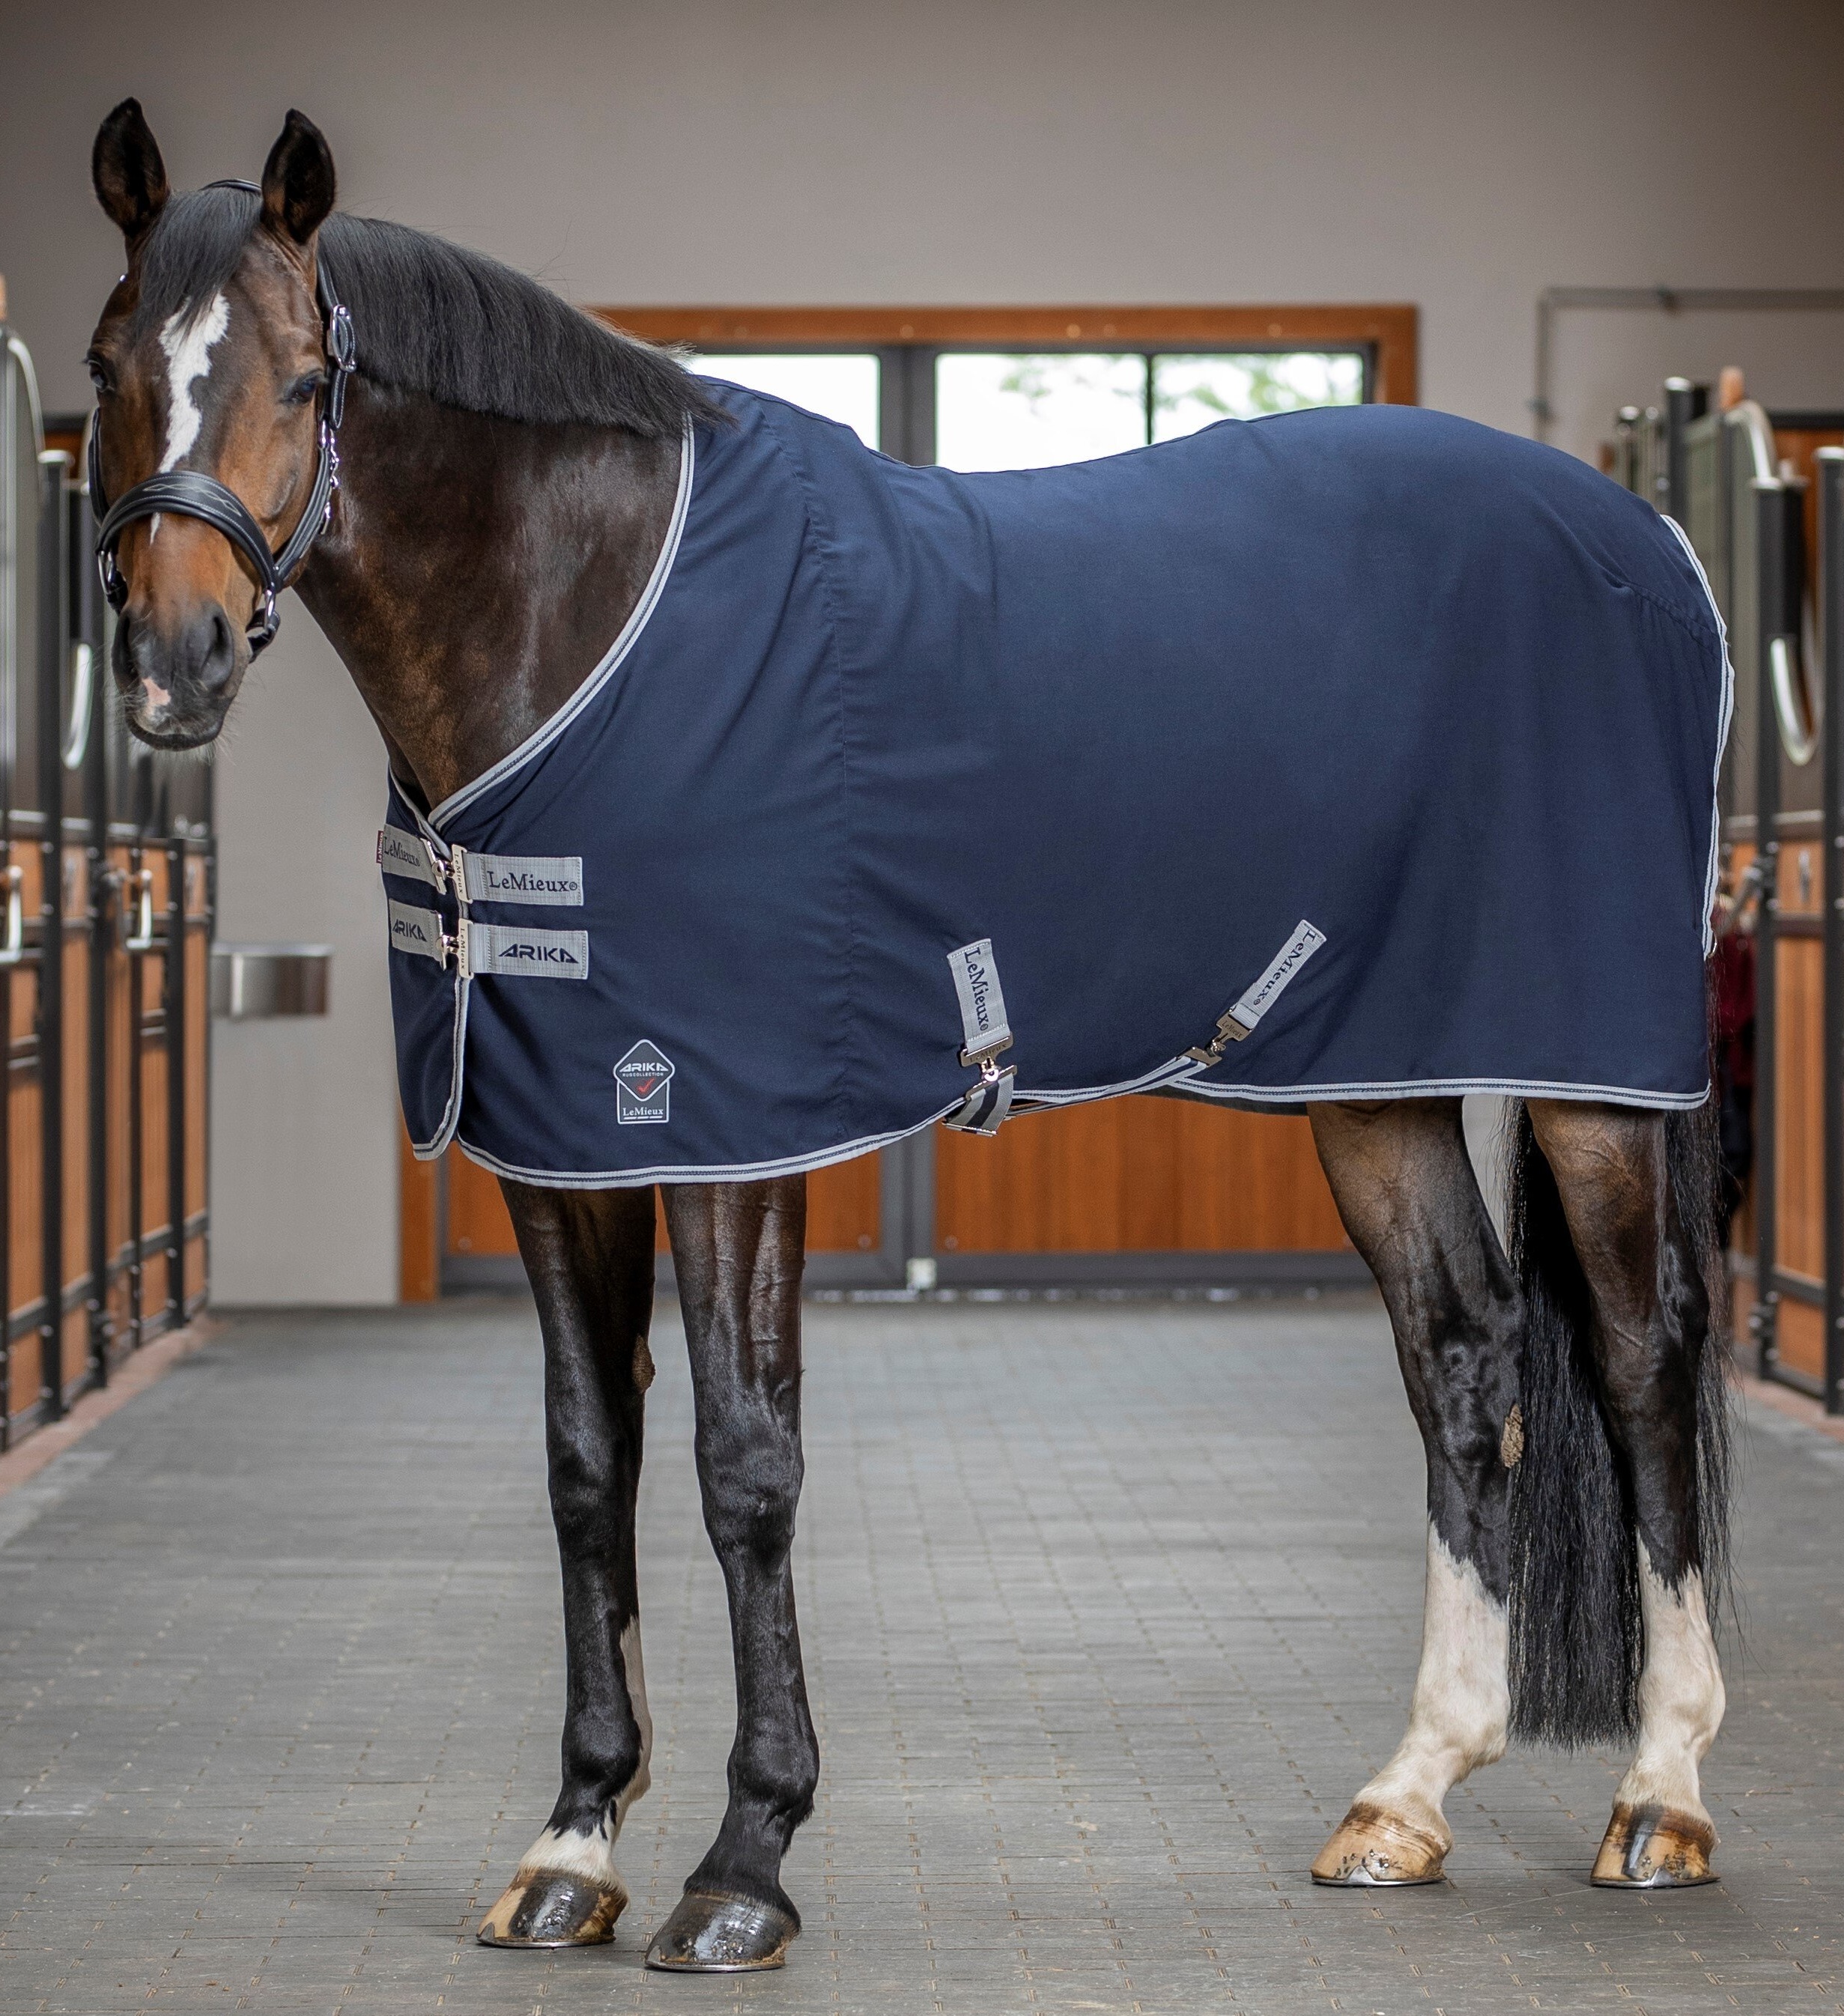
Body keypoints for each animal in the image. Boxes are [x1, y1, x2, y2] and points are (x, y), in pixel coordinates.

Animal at [84, 99, 1734, 1973]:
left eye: (303, 378)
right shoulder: (560, 1140)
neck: (586, 617)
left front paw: (743, 1860)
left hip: (1590, 1086)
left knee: (1642, 1362)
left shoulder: (727, 1129)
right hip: (1371, 1083)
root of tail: (1645, 547)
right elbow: (588, 1463)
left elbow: (742, 1462)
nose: (171, 659)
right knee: (1460, 1361)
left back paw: (1660, 1797)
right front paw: (574, 1840)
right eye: (111, 362)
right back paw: (1408, 1794)